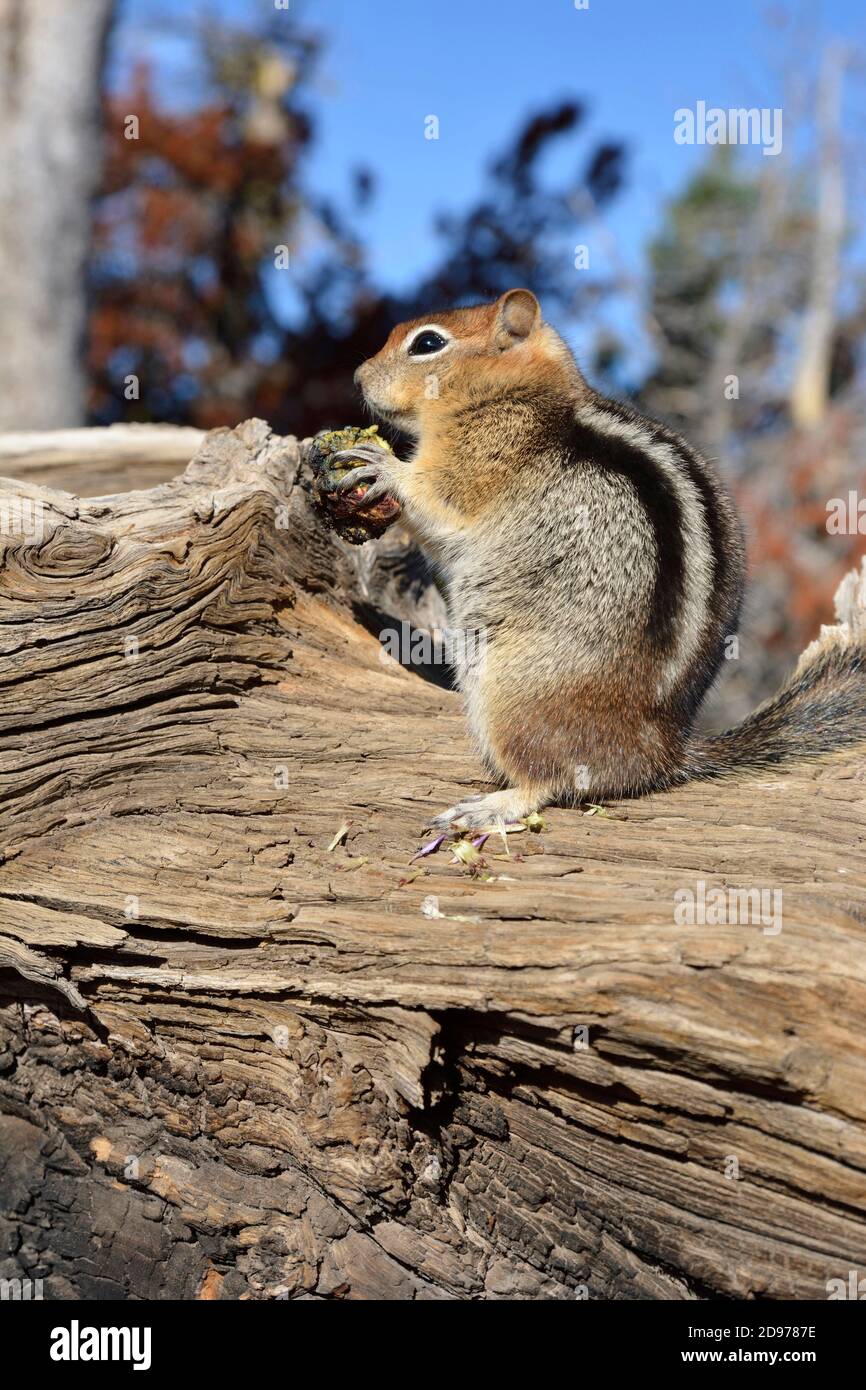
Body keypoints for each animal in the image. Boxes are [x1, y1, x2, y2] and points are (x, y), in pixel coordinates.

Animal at [328, 287, 866, 831]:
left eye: (428, 343)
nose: (356, 377)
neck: (518, 392)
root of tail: (659, 753)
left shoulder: (482, 456)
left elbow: (438, 501)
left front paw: (382, 466)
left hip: (509, 693)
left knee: (549, 780)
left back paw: (491, 806)